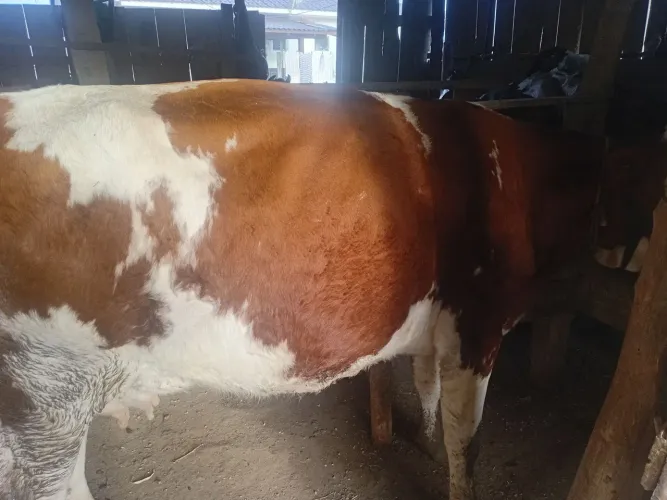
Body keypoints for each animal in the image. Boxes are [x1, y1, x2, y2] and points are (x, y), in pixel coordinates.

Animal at [0, 79, 603, 500]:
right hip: (42, 410)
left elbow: (426, 390)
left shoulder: (441, 326)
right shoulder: (480, 321)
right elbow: (466, 440)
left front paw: (424, 442)